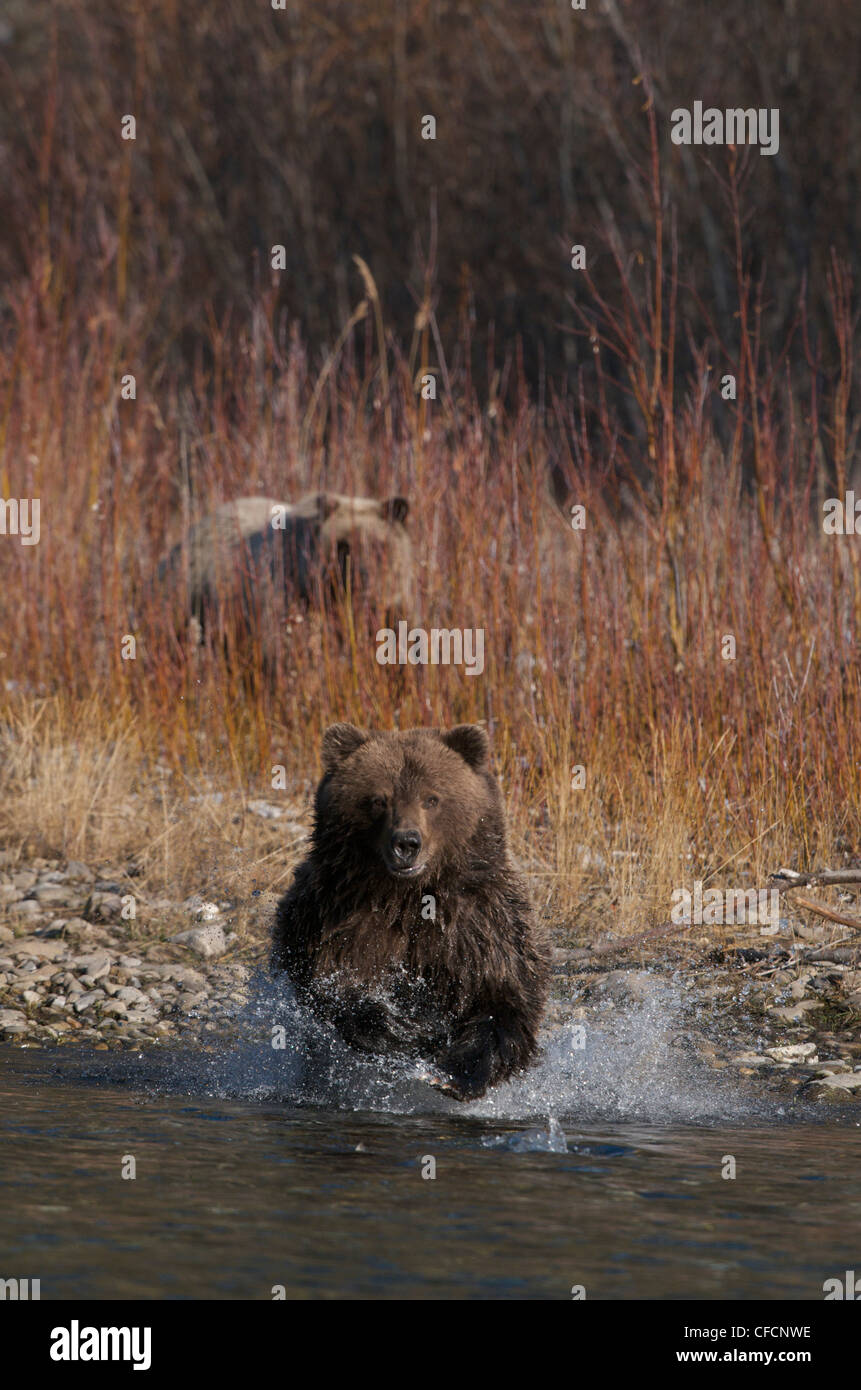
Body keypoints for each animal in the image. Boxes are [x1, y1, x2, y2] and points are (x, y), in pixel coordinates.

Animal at [271, 723, 549, 1101]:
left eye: (431, 799)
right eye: (378, 800)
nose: (406, 843)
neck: (407, 898)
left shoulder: (479, 925)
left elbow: (502, 1000)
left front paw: (451, 1075)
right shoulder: (339, 921)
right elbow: (339, 989)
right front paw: (409, 1029)